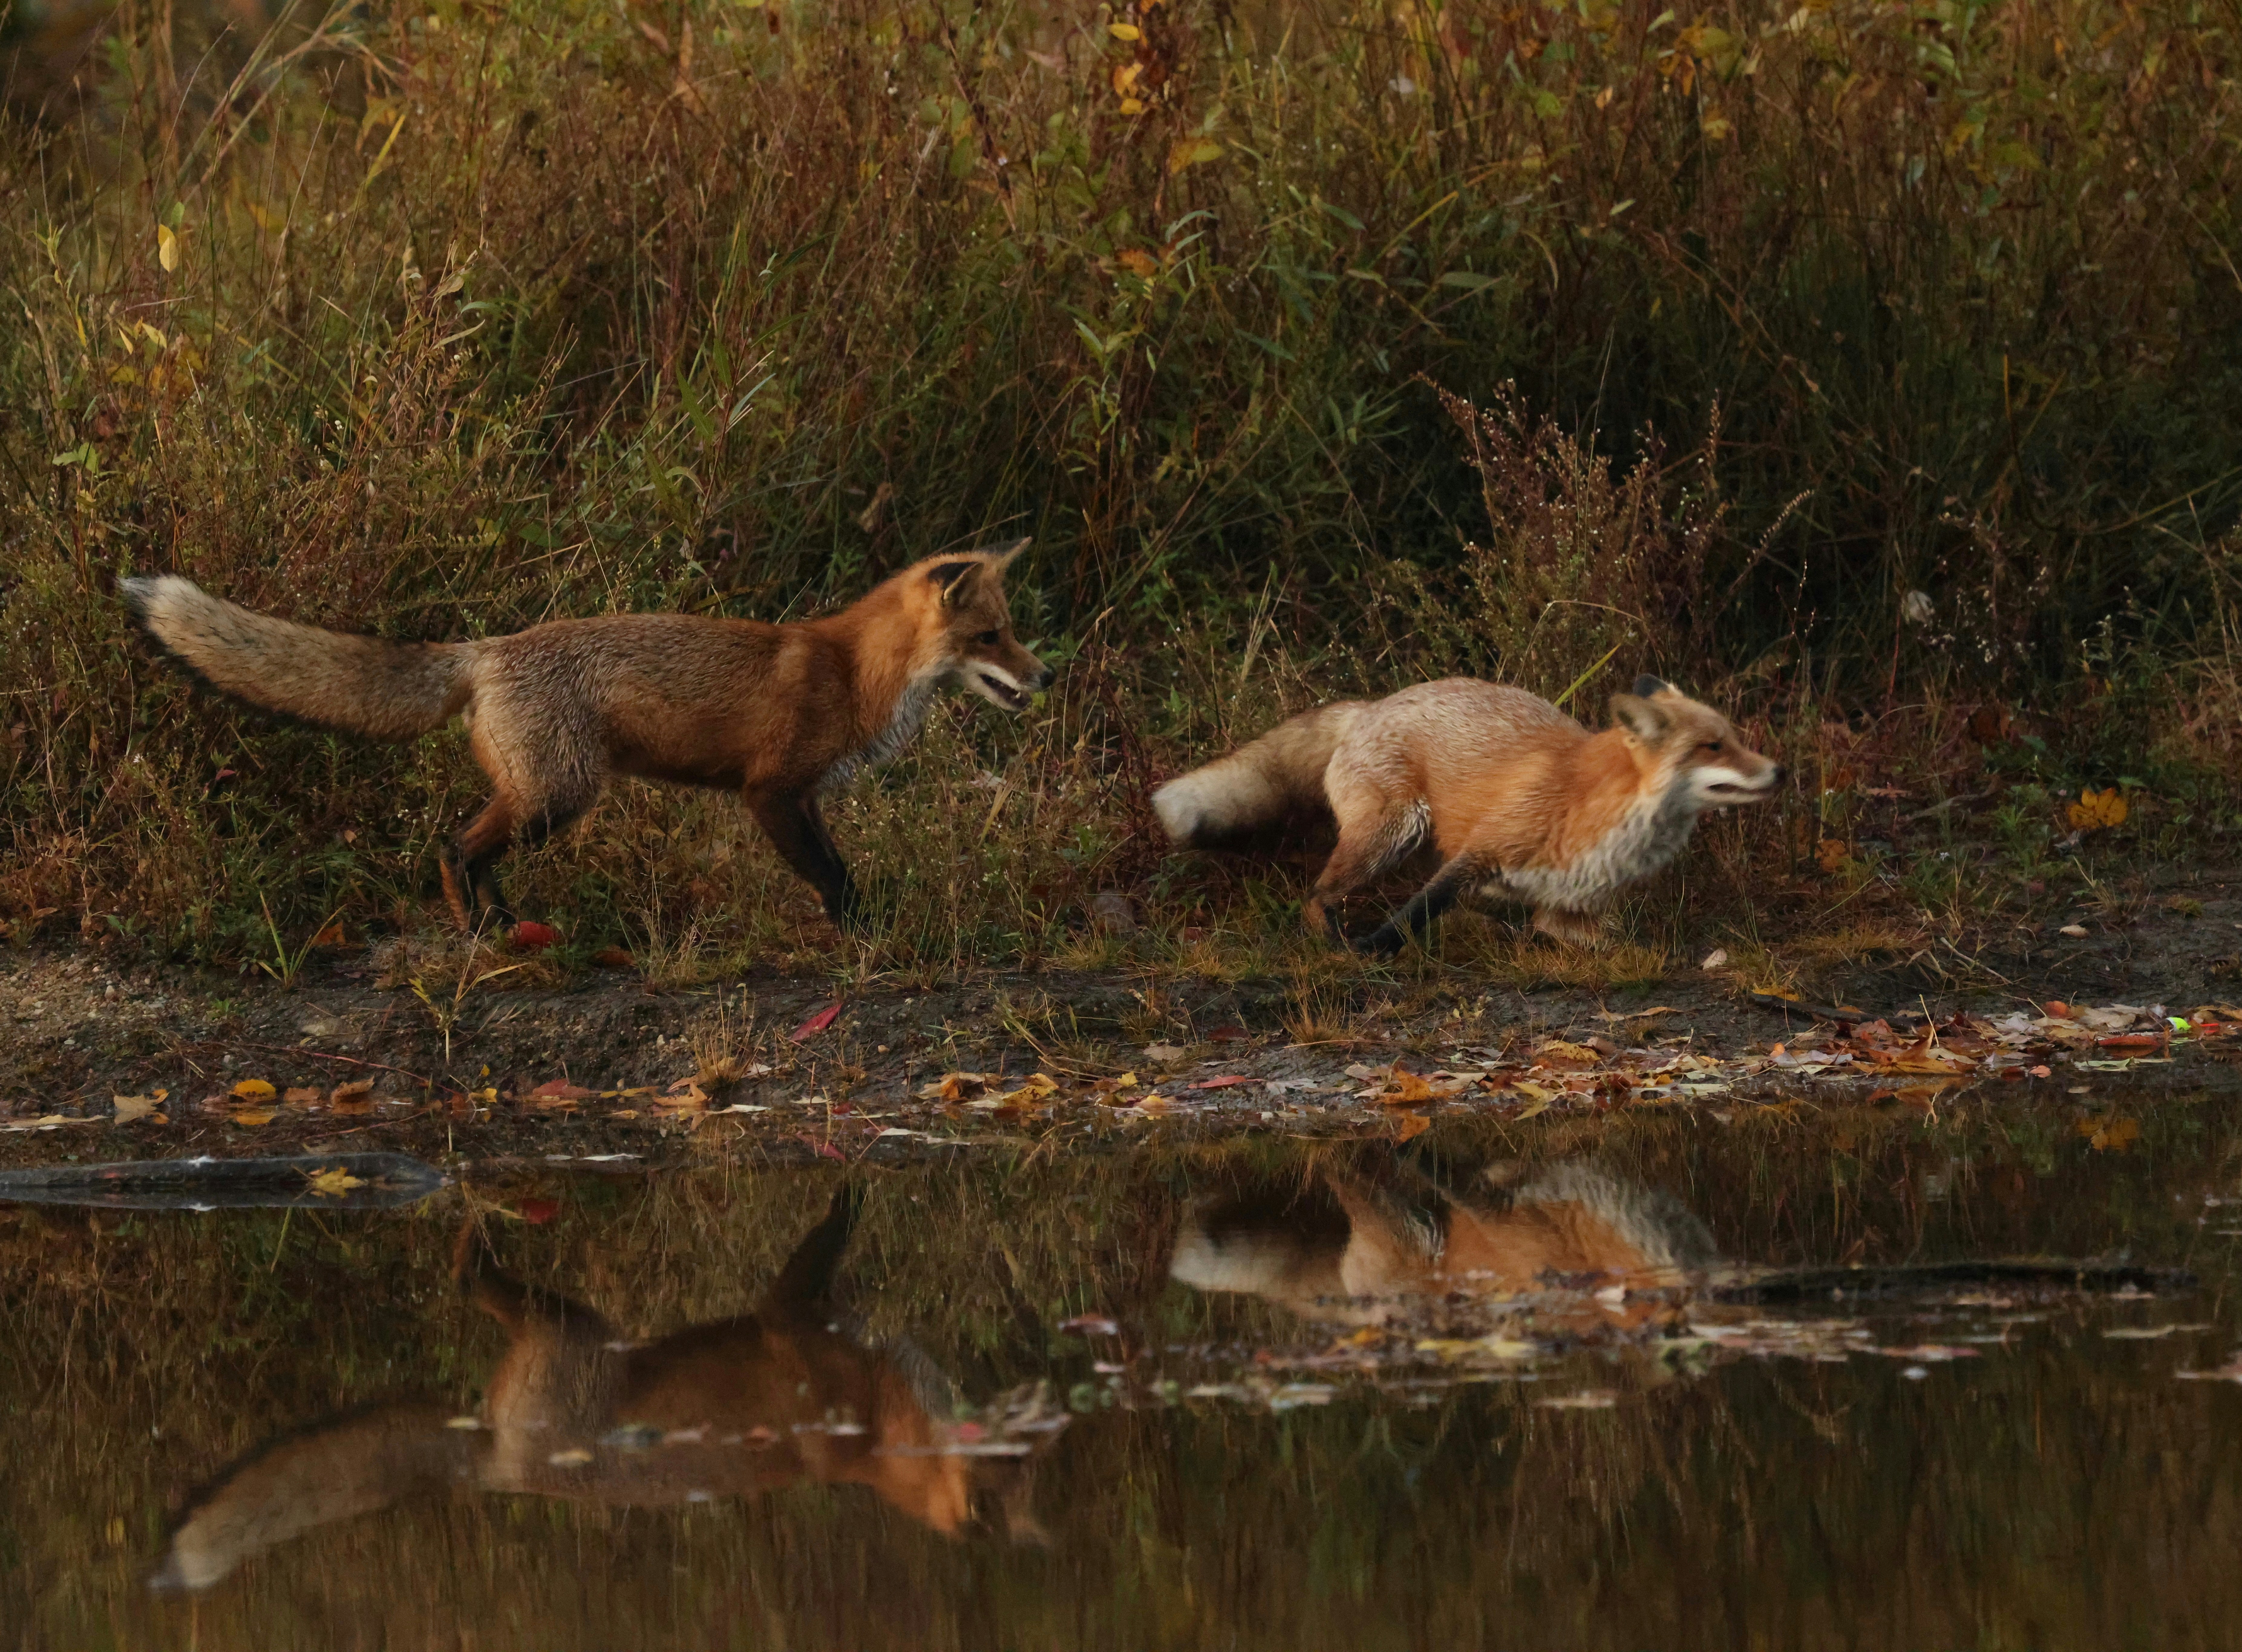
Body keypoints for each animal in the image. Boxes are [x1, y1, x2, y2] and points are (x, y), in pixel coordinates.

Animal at [121, 541, 1052, 932]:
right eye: (991, 637)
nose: (1044, 675)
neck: (854, 669)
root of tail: (487, 648)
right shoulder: (771, 790)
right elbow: (829, 875)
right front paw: (861, 932)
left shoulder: (806, 797)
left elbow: (839, 865)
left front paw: (867, 920)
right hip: (560, 793)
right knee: (452, 845)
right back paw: (476, 930)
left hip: (539, 793)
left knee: (474, 849)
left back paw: (505, 921)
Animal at [149, 1186, 1051, 1593]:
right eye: (1013, 1460)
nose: (1040, 1386)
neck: (880, 1418)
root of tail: (498, 1467)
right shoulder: (788, 1318)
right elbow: (823, 1246)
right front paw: (850, 1205)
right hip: (572, 1328)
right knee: (475, 1283)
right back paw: (471, 1229)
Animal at [1152, 674, 1782, 953]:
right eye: (1712, 747)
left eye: (1734, 738)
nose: (1779, 772)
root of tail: (1370, 706)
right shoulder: (1484, 849)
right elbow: (1414, 912)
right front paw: (1374, 950)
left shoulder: (1567, 908)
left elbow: (1619, 943)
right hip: (1393, 831)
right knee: (1316, 894)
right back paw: (1333, 939)